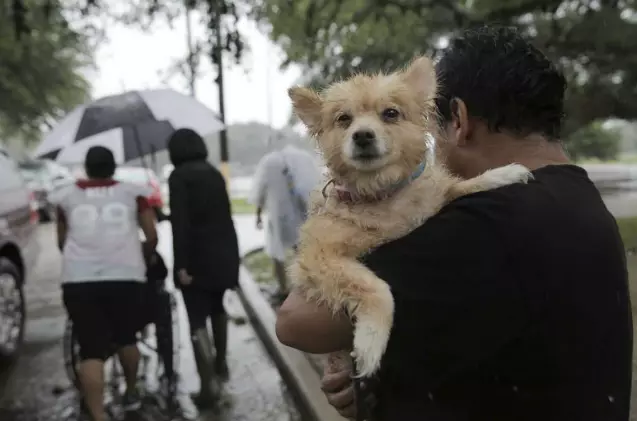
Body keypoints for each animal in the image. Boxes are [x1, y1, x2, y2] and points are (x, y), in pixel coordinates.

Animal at [288, 56, 532, 378]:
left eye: (390, 114)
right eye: (344, 119)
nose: (362, 135)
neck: (383, 193)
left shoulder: (433, 199)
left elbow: (457, 187)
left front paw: (501, 174)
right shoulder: (319, 257)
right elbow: (378, 288)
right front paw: (371, 340)